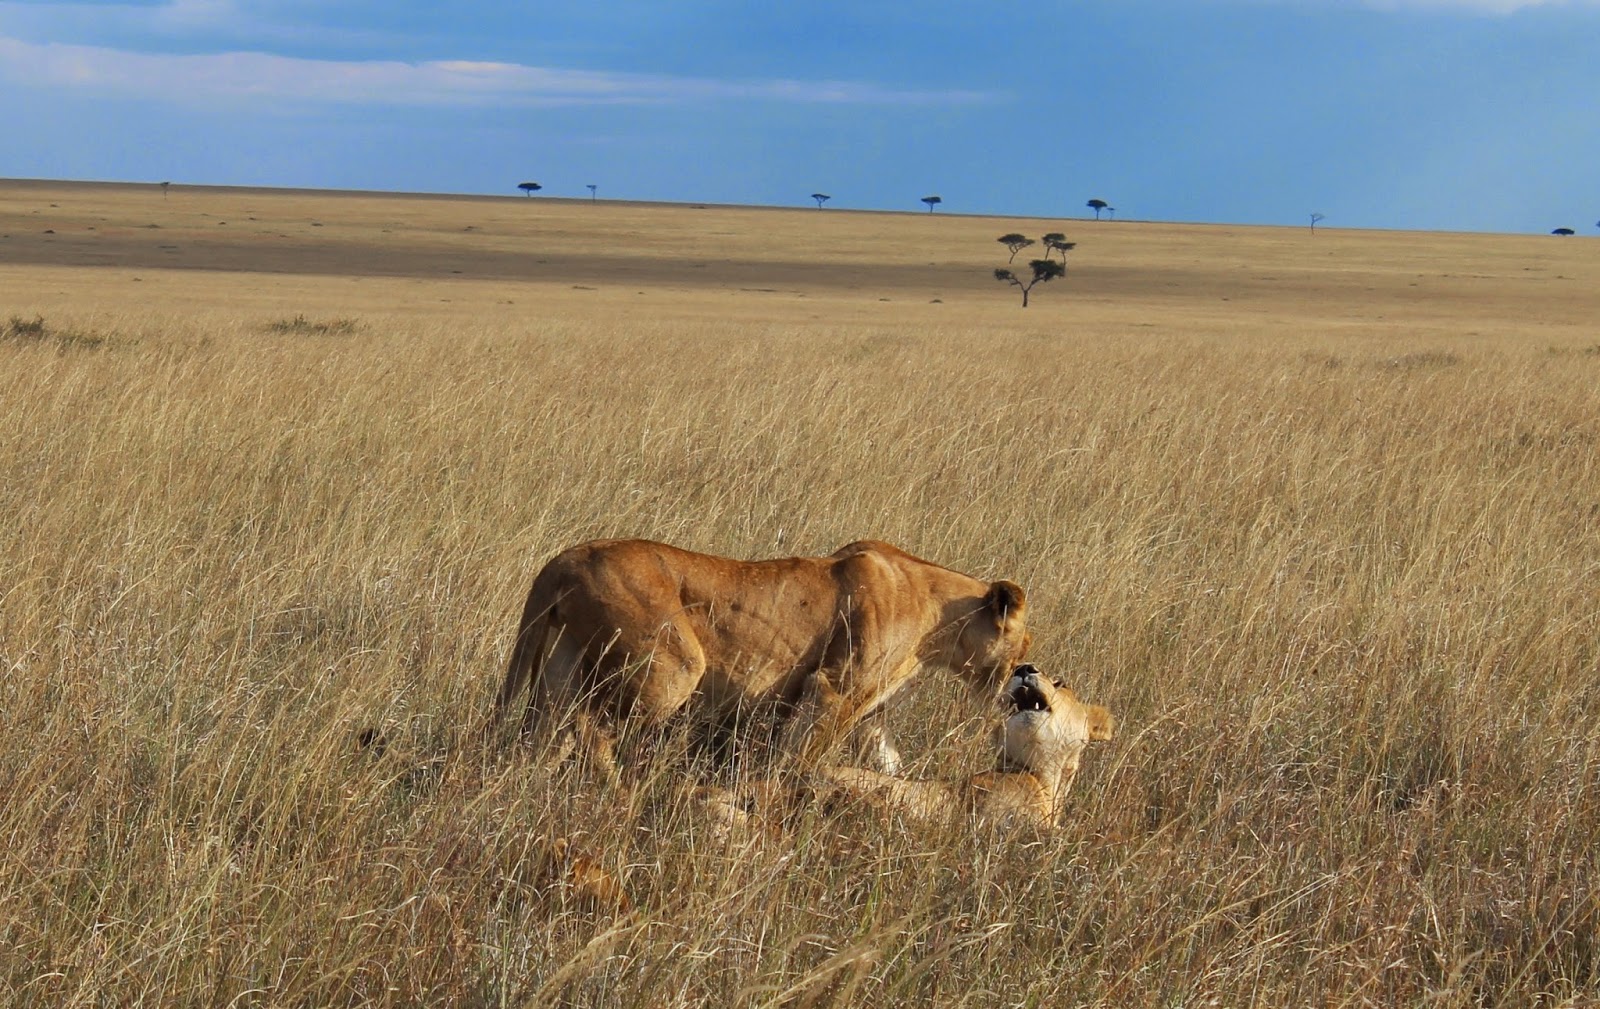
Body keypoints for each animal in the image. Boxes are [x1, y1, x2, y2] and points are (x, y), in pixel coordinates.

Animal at [494, 538, 1031, 778]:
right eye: (1024, 646)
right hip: (671, 669)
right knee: (589, 728)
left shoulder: (871, 715)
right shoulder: (832, 690)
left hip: (561, 665)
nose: (1025, 673)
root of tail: (565, 558)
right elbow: (802, 757)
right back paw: (618, 794)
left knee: (545, 735)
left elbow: (887, 762)